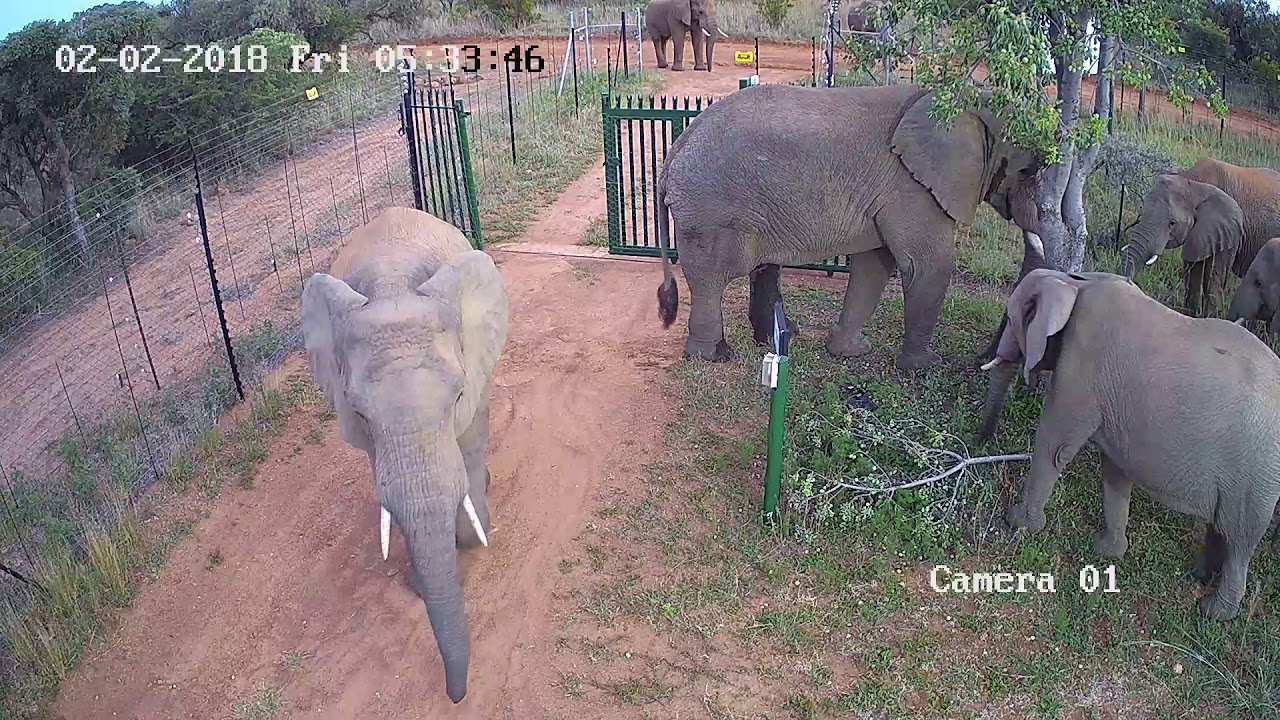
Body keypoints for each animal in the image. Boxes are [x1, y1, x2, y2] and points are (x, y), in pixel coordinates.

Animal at [300, 206, 509, 704]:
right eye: (359, 414)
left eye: (456, 397)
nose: (457, 696)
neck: (392, 286)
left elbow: (471, 436)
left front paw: (473, 529)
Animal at [654, 83, 1042, 370]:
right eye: (1026, 170)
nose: (982, 359)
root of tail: (675, 150)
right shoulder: (913, 188)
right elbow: (927, 265)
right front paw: (925, 367)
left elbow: (876, 264)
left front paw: (849, 353)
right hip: (710, 213)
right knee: (711, 277)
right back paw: (716, 356)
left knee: (761, 268)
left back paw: (781, 339)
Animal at [978, 268, 1280, 622]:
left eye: (1012, 319)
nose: (979, 442)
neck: (1074, 283)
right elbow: (1115, 469)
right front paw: (1106, 551)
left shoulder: (1082, 364)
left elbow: (1055, 447)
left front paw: (1019, 524)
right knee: (1223, 526)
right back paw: (1200, 575)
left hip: (1256, 471)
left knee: (1239, 537)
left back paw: (1212, 611)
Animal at [1121, 157, 1280, 317]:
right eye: (1142, 210)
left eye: (1172, 223)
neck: (1193, 182)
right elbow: (1193, 274)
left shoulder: (1230, 231)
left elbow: (1213, 279)